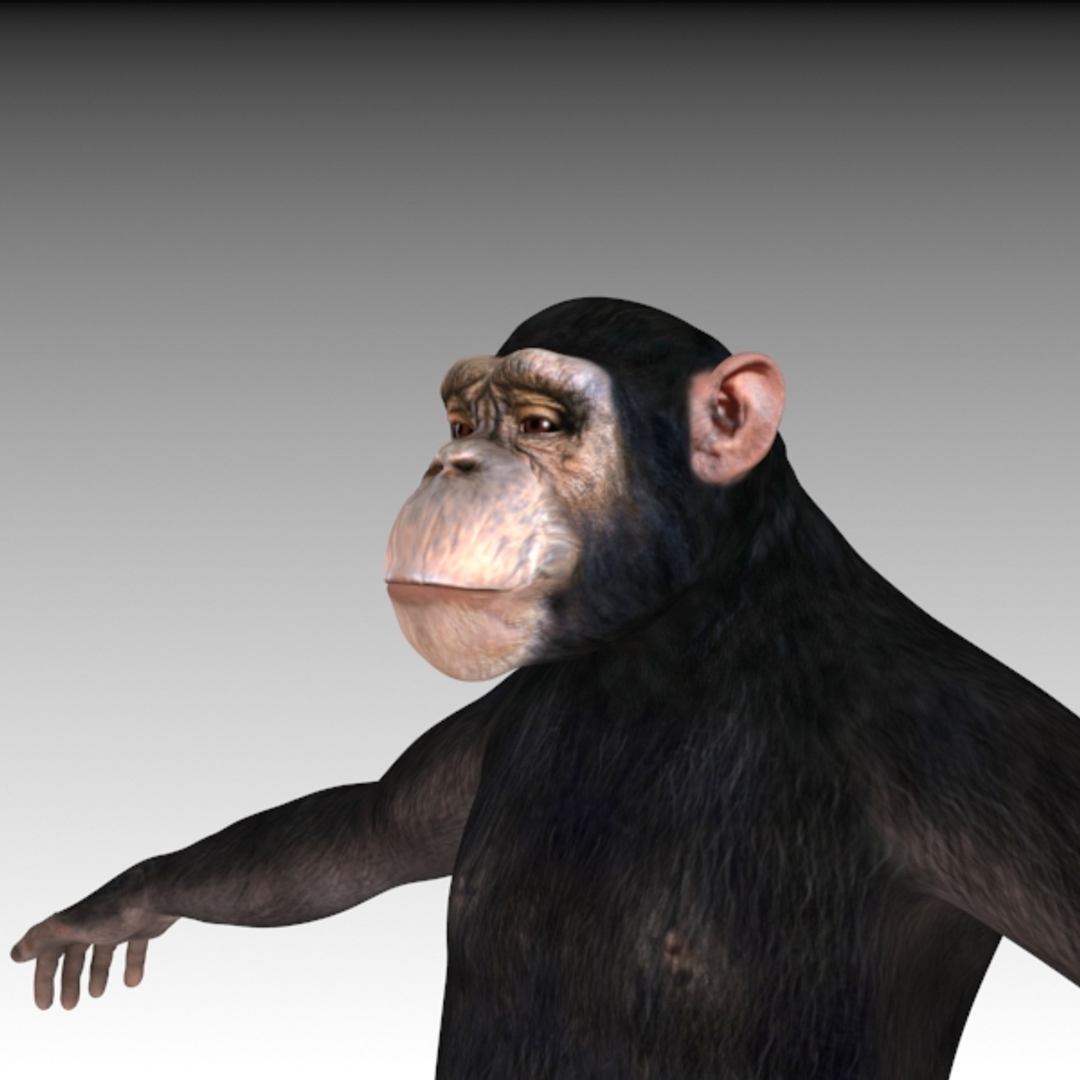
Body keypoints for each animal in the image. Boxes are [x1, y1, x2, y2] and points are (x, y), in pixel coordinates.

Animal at [12, 298, 1080, 1079]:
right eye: (459, 421)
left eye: (537, 425)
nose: (451, 461)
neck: (687, 641)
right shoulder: (490, 725)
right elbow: (371, 827)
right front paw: (115, 907)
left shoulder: (950, 735)